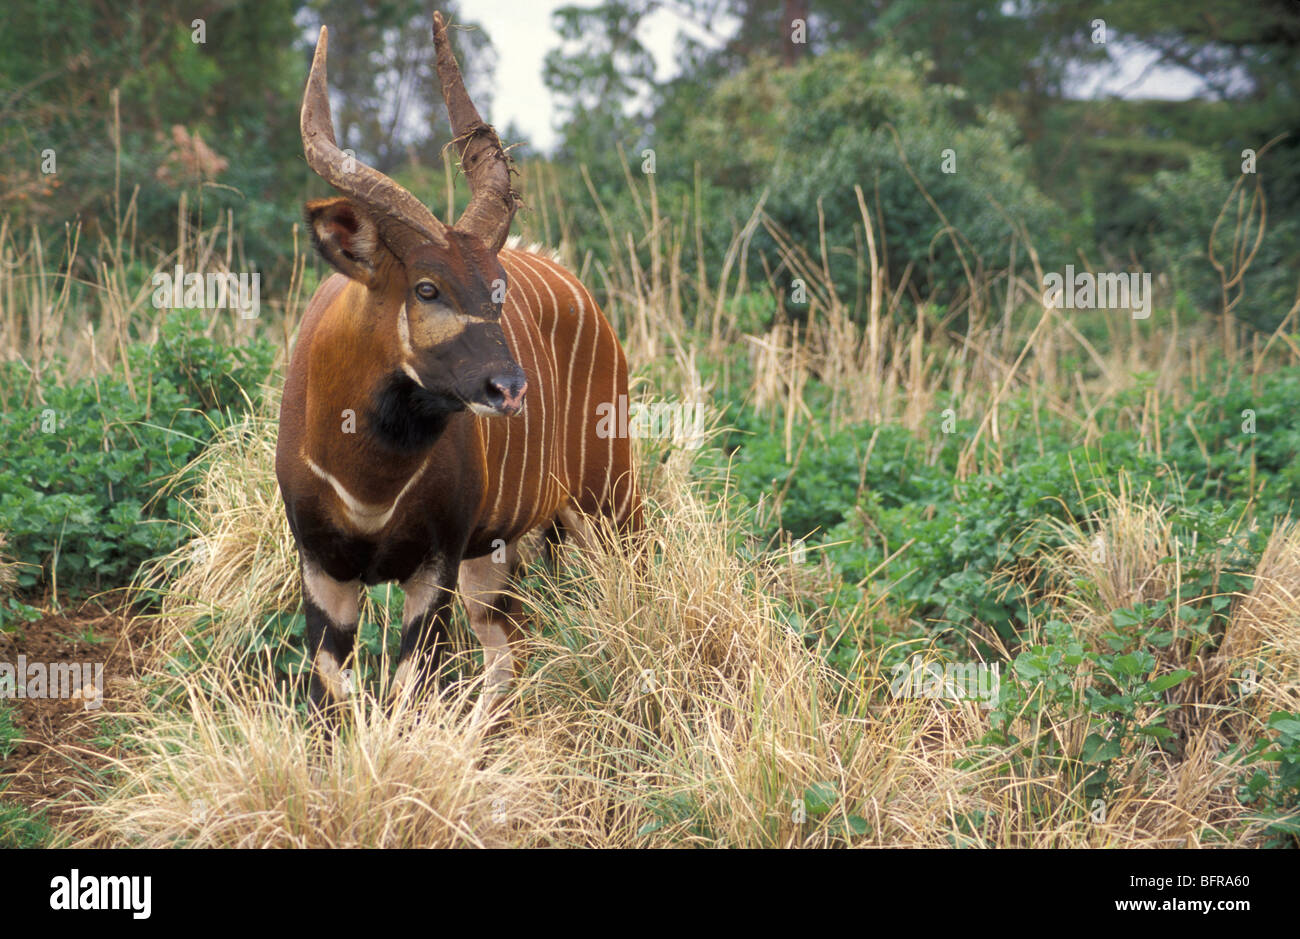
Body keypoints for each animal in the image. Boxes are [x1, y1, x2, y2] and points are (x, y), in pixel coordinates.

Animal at [275, 13, 639, 724]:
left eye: (498, 287)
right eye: (426, 288)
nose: (509, 388)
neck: (368, 478)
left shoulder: (434, 564)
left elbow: (407, 686)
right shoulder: (324, 567)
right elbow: (335, 693)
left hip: (608, 503)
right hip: (496, 557)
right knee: (508, 649)